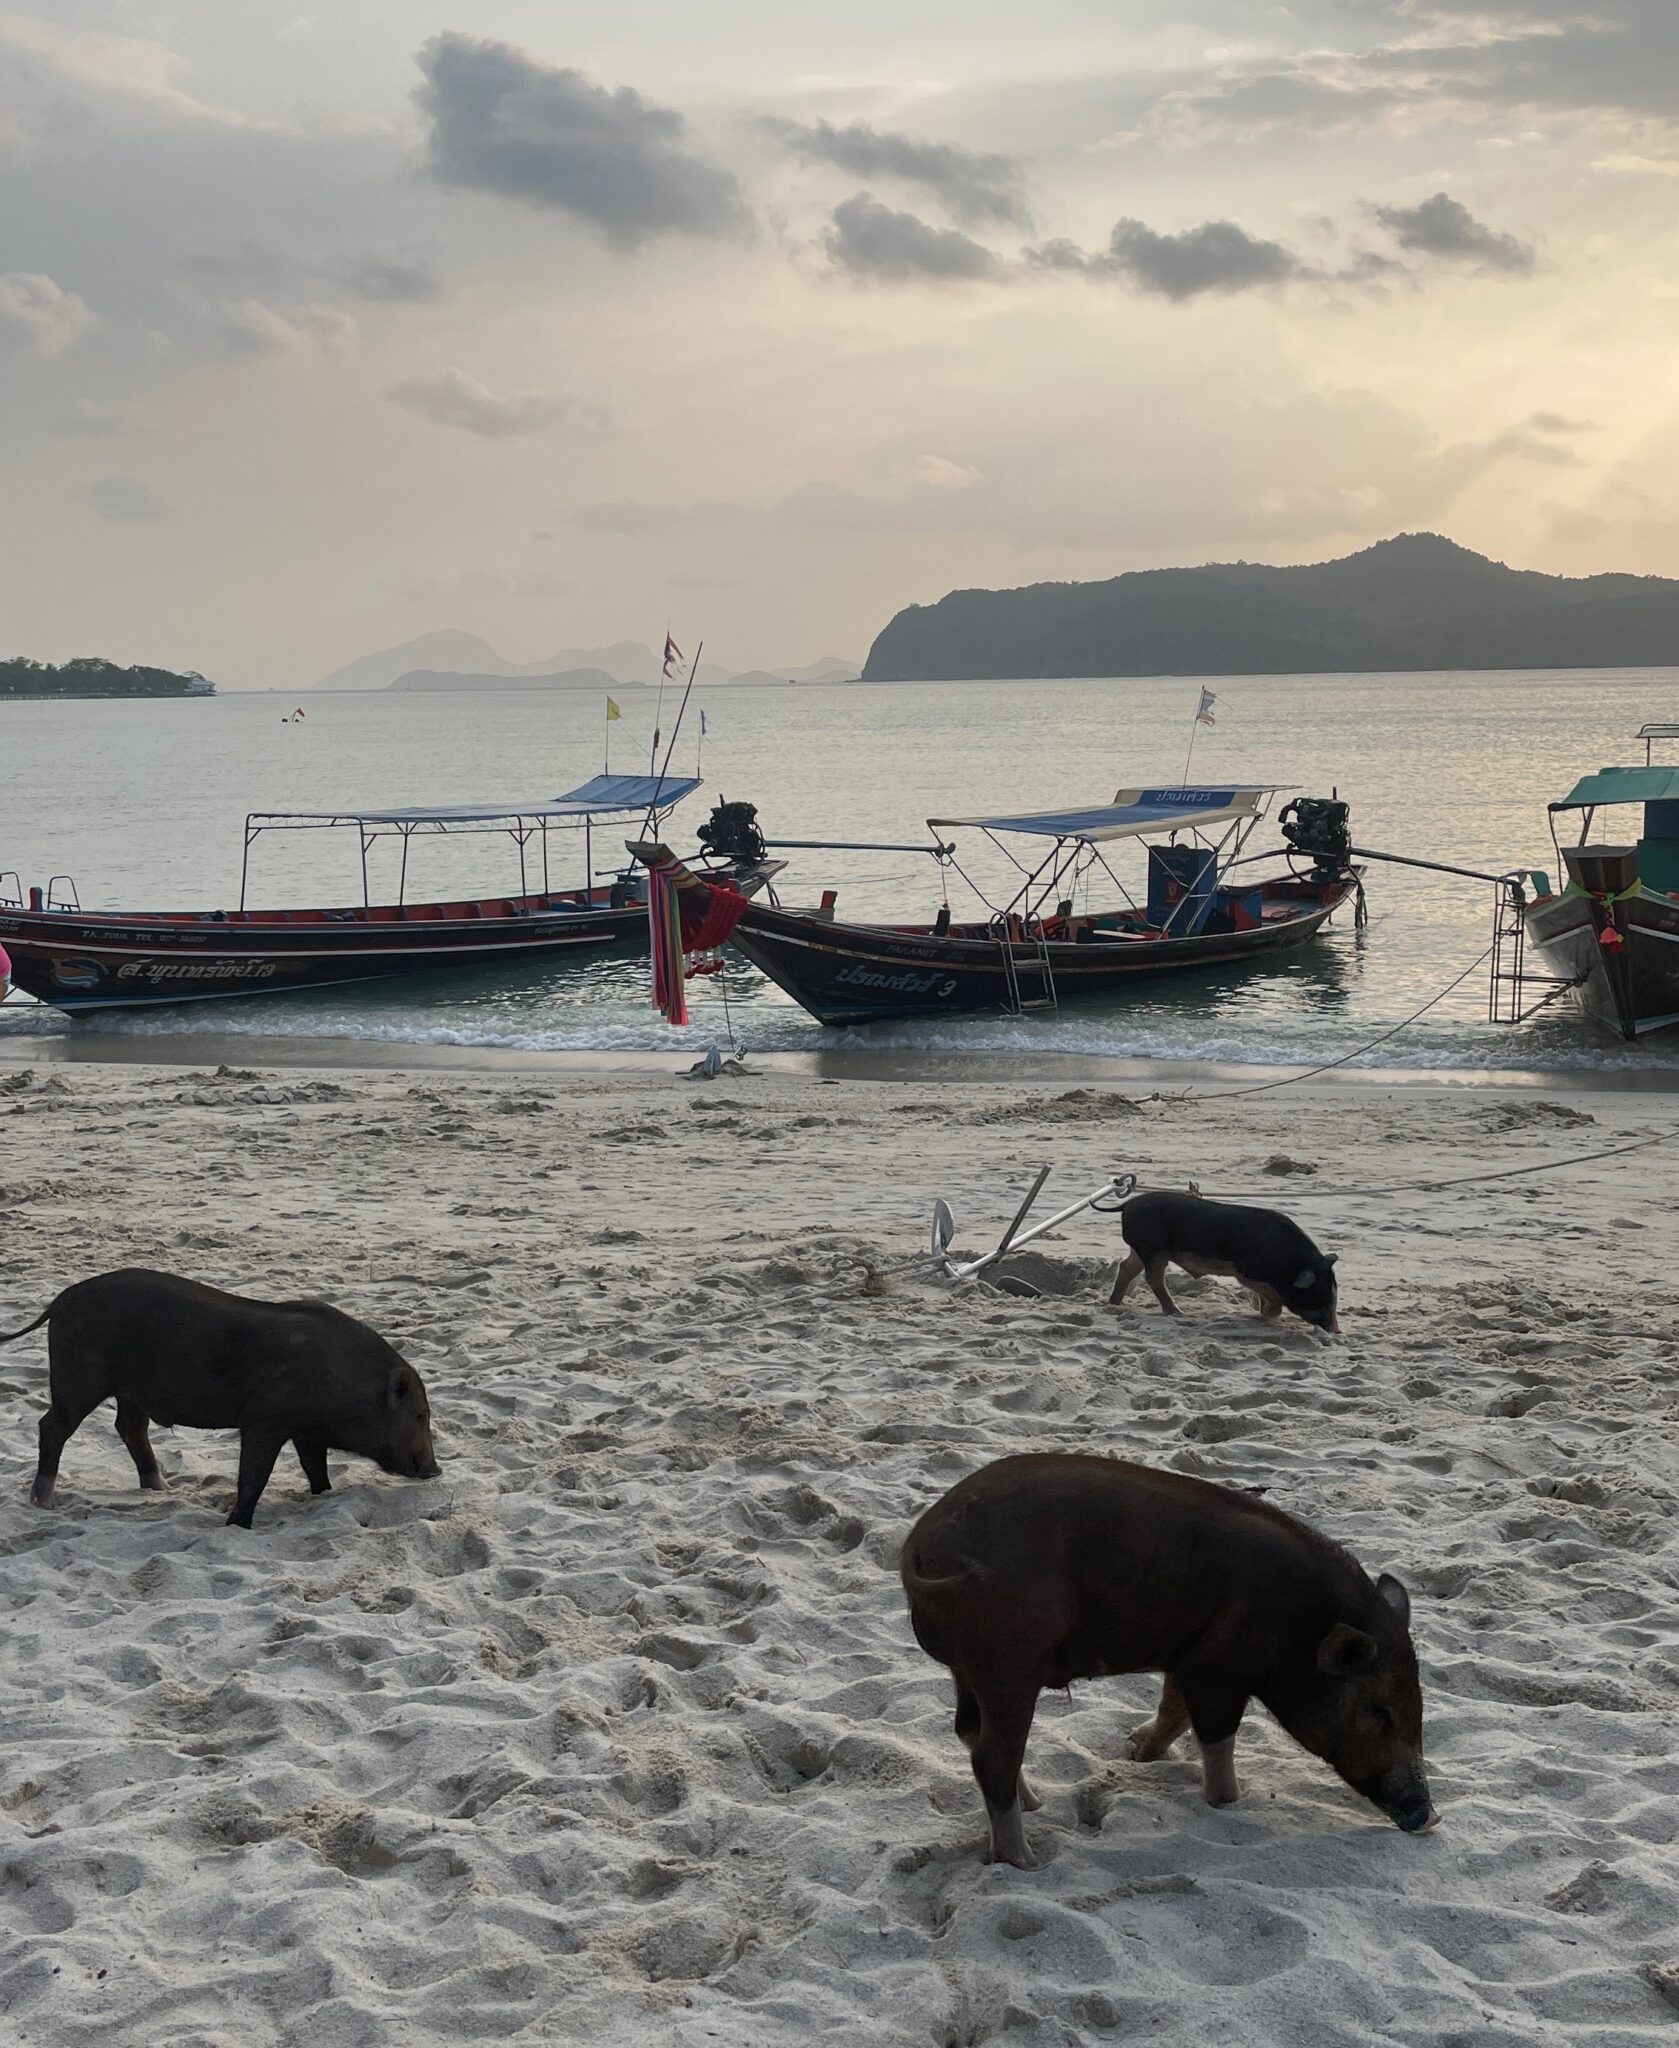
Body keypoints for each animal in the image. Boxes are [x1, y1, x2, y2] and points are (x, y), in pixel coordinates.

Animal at [2, 1268, 440, 1528]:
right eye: (420, 1415)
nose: (435, 1470)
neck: (344, 1379)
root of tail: (60, 1301)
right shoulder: (264, 1421)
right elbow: (253, 1476)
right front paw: (237, 1526)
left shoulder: (306, 1431)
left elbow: (316, 1470)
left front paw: (323, 1496)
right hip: (79, 1379)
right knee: (52, 1426)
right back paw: (44, 1502)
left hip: (128, 1390)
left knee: (129, 1426)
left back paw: (161, 1489)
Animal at [901, 1452, 1433, 1867]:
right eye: (1378, 1709)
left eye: (1419, 1703)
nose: (1427, 1816)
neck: (1300, 1624)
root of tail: (922, 1549)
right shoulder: (1219, 1670)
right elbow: (1216, 1738)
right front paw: (1229, 1801)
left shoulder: (1191, 1656)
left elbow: (1173, 1709)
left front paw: (1136, 1753)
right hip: (1006, 1663)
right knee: (992, 1755)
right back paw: (1027, 1861)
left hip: (969, 1671)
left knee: (971, 1734)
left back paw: (1035, 1805)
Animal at [1111, 1190, 1339, 1332]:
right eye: (1322, 1292)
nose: (1337, 1331)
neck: (1291, 1265)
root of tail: (1127, 1204)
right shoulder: (1246, 1273)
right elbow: (1273, 1299)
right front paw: (1264, 1313)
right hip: (1153, 1249)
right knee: (1153, 1277)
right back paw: (1177, 1313)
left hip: (1141, 1249)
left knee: (1127, 1267)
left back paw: (1114, 1303)